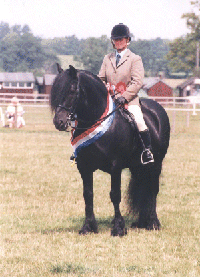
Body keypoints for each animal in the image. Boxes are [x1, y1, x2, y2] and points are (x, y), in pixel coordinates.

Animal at [50, 64, 170, 235]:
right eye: (56, 90)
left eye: (72, 90)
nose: (59, 122)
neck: (97, 120)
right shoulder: (84, 167)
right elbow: (88, 195)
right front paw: (88, 226)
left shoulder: (115, 167)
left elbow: (115, 195)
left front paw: (119, 228)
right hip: (137, 166)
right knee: (143, 189)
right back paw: (141, 222)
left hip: (156, 164)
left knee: (153, 189)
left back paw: (153, 223)